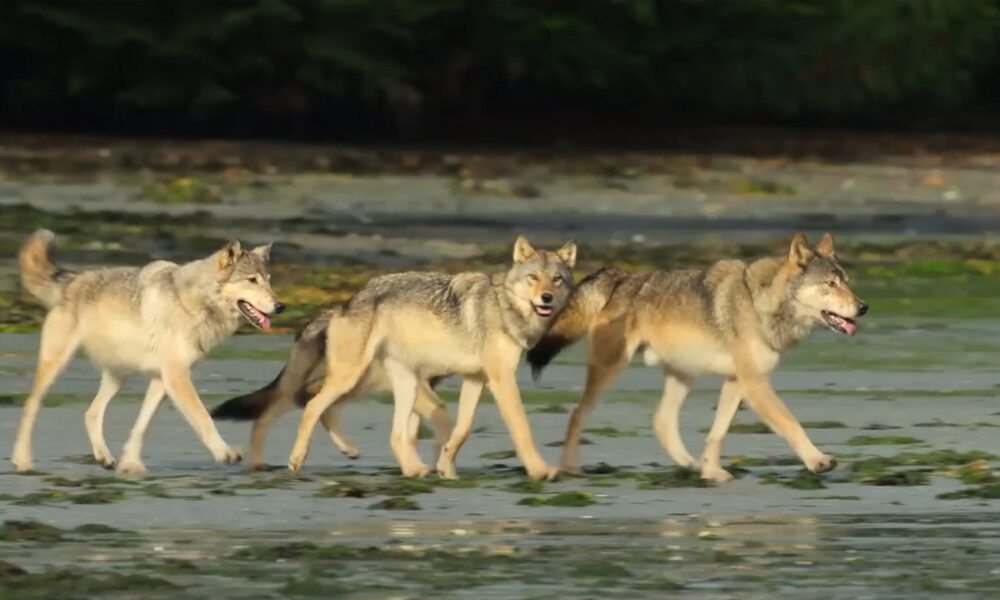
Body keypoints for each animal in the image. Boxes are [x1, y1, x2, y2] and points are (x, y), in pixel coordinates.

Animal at [13, 229, 282, 475]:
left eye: (269, 279)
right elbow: (203, 418)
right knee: (30, 405)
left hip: (117, 376)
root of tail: (73, 279)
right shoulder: (176, 377)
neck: (193, 301)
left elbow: (142, 426)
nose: (280, 306)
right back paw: (22, 461)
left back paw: (104, 458)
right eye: (252, 280)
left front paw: (131, 464)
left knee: (91, 413)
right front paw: (225, 453)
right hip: (56, 366)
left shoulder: (162, 379)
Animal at [210, 311, 454, 470]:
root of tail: (317, 321)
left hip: (345, 385)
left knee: (318, 409)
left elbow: (414, 430)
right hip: (328, 386)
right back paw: (260, 463)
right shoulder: (416, 385)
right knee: (271, 415)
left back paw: (346, 448)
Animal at [285, 235, 577, 480]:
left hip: (401, 385)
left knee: (393, 435)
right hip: (353, 378)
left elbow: (462, 430)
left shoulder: (475, 379)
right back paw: (297, 460)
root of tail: (344, 304)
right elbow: (521, 428)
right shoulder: (501, 379)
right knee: (313, 405)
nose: (547, 298)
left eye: (557, 279)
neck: (504, 307)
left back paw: (412, 469)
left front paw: (446, 468)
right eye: (533, 277)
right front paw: (540, 470)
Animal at [527, 233, 867, 482]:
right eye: (830, 284)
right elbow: (790, 423)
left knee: (661, 422)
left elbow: (717, 433)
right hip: (611, 370)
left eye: (847, 281)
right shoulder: (755, 384)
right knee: (576, 415)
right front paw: (818, 461)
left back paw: (689, 464)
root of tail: (620, 276)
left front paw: (711, 471)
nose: (863, 307)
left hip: (682, 376)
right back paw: (570, 468)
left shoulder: (738, 382)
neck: (762, 304)